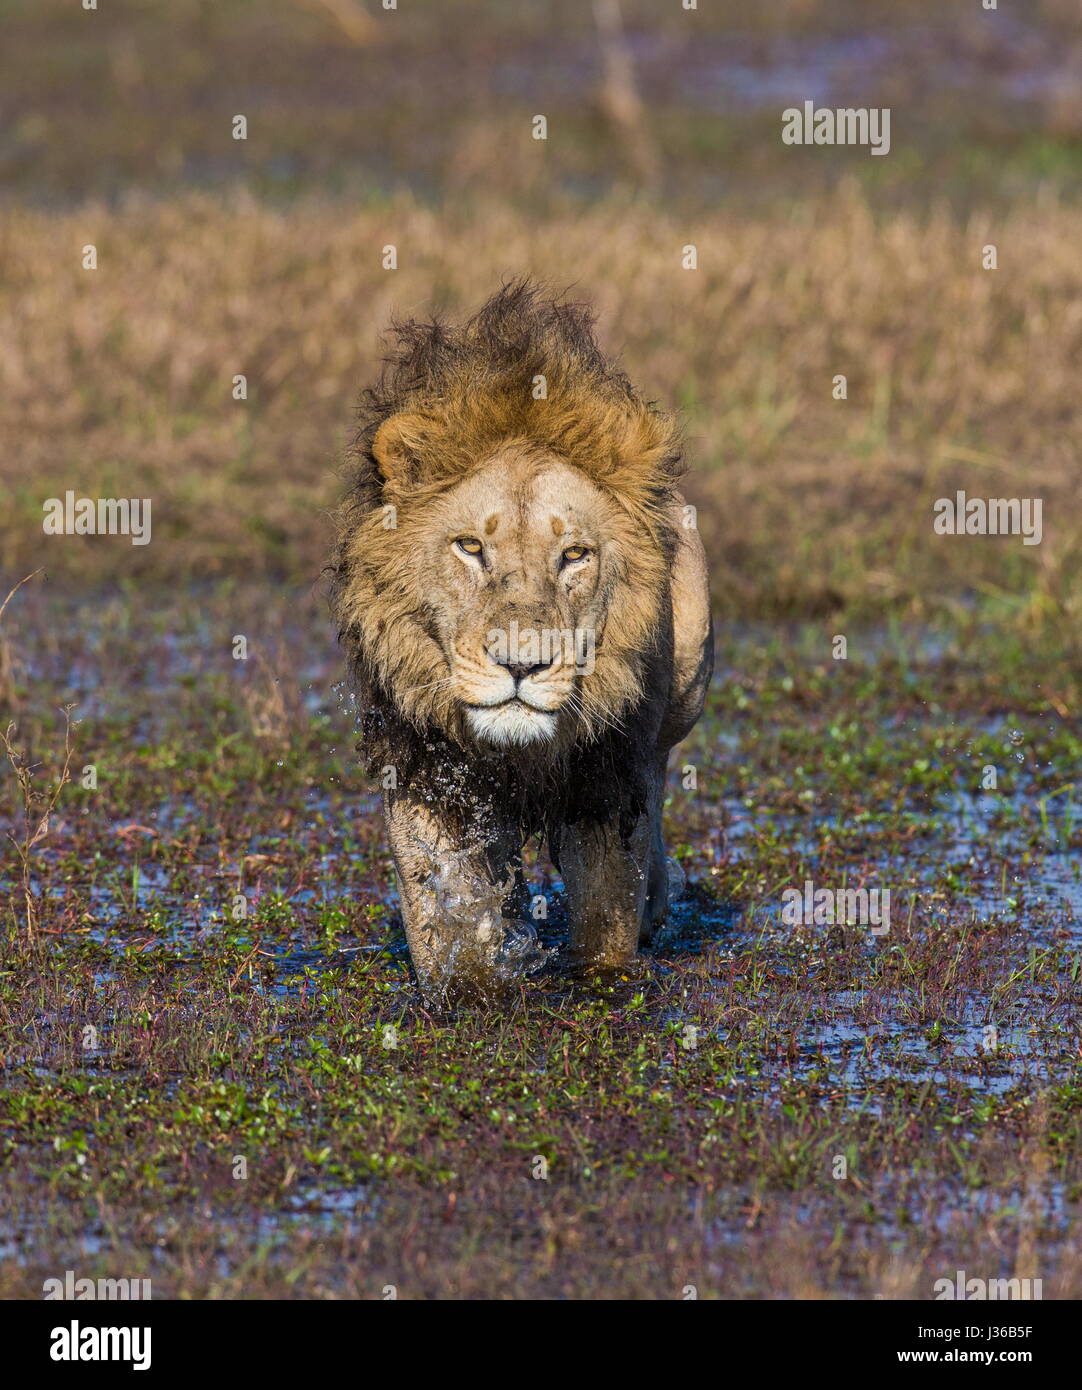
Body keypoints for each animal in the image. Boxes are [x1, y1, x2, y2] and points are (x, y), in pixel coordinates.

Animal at [329, 282, 712, 991]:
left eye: (575, 555)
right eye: (471, 547)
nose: (521, 666)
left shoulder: (607, 779)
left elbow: (606, 918)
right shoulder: (425, 770)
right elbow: (446, 913)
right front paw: (476, 980)